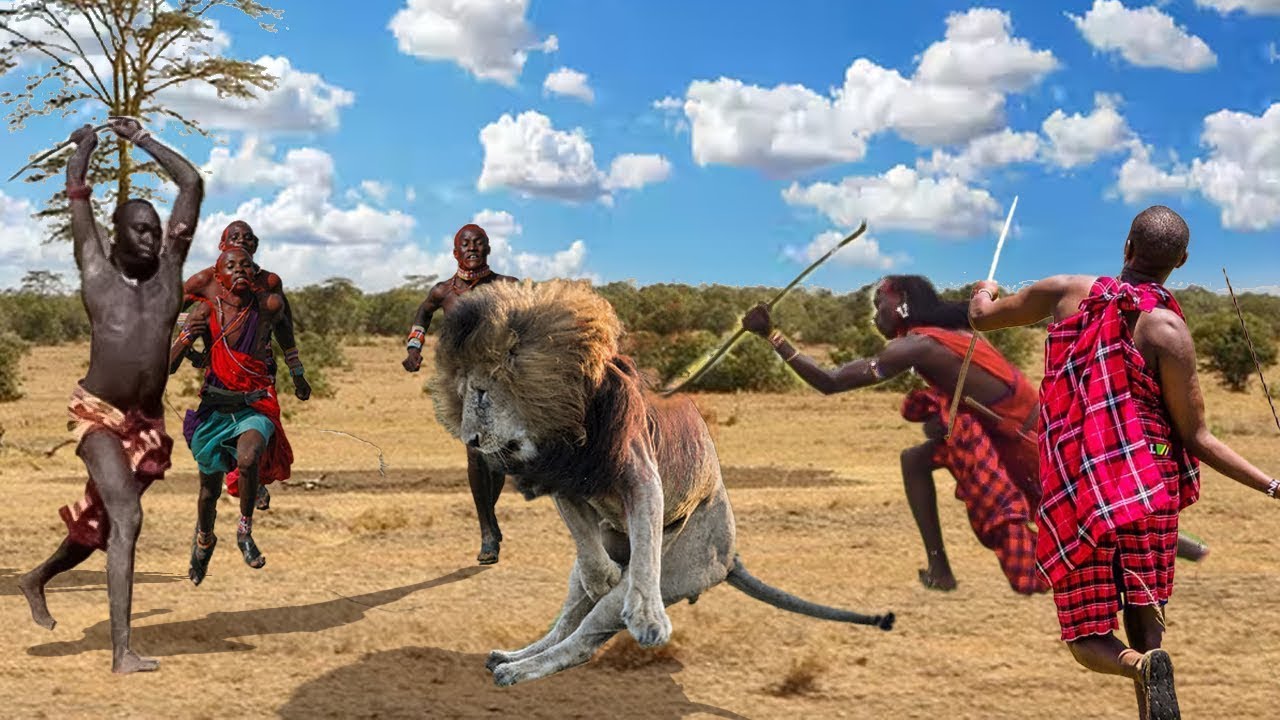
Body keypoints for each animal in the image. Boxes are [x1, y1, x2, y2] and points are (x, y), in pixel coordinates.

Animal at [429, 279, 894, 687]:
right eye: (463, 393)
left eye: (482, 393)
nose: (470, 440)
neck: (568, 417)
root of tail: (730, 560)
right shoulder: (565, 477)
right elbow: (583, 540)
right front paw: (602, 575)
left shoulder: (640, 475)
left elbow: (643, 549)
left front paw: (647, 618)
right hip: (586, 569)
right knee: (567, 619)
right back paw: (513, 655)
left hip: (676, 569)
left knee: (587, 636)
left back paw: (521, 669)